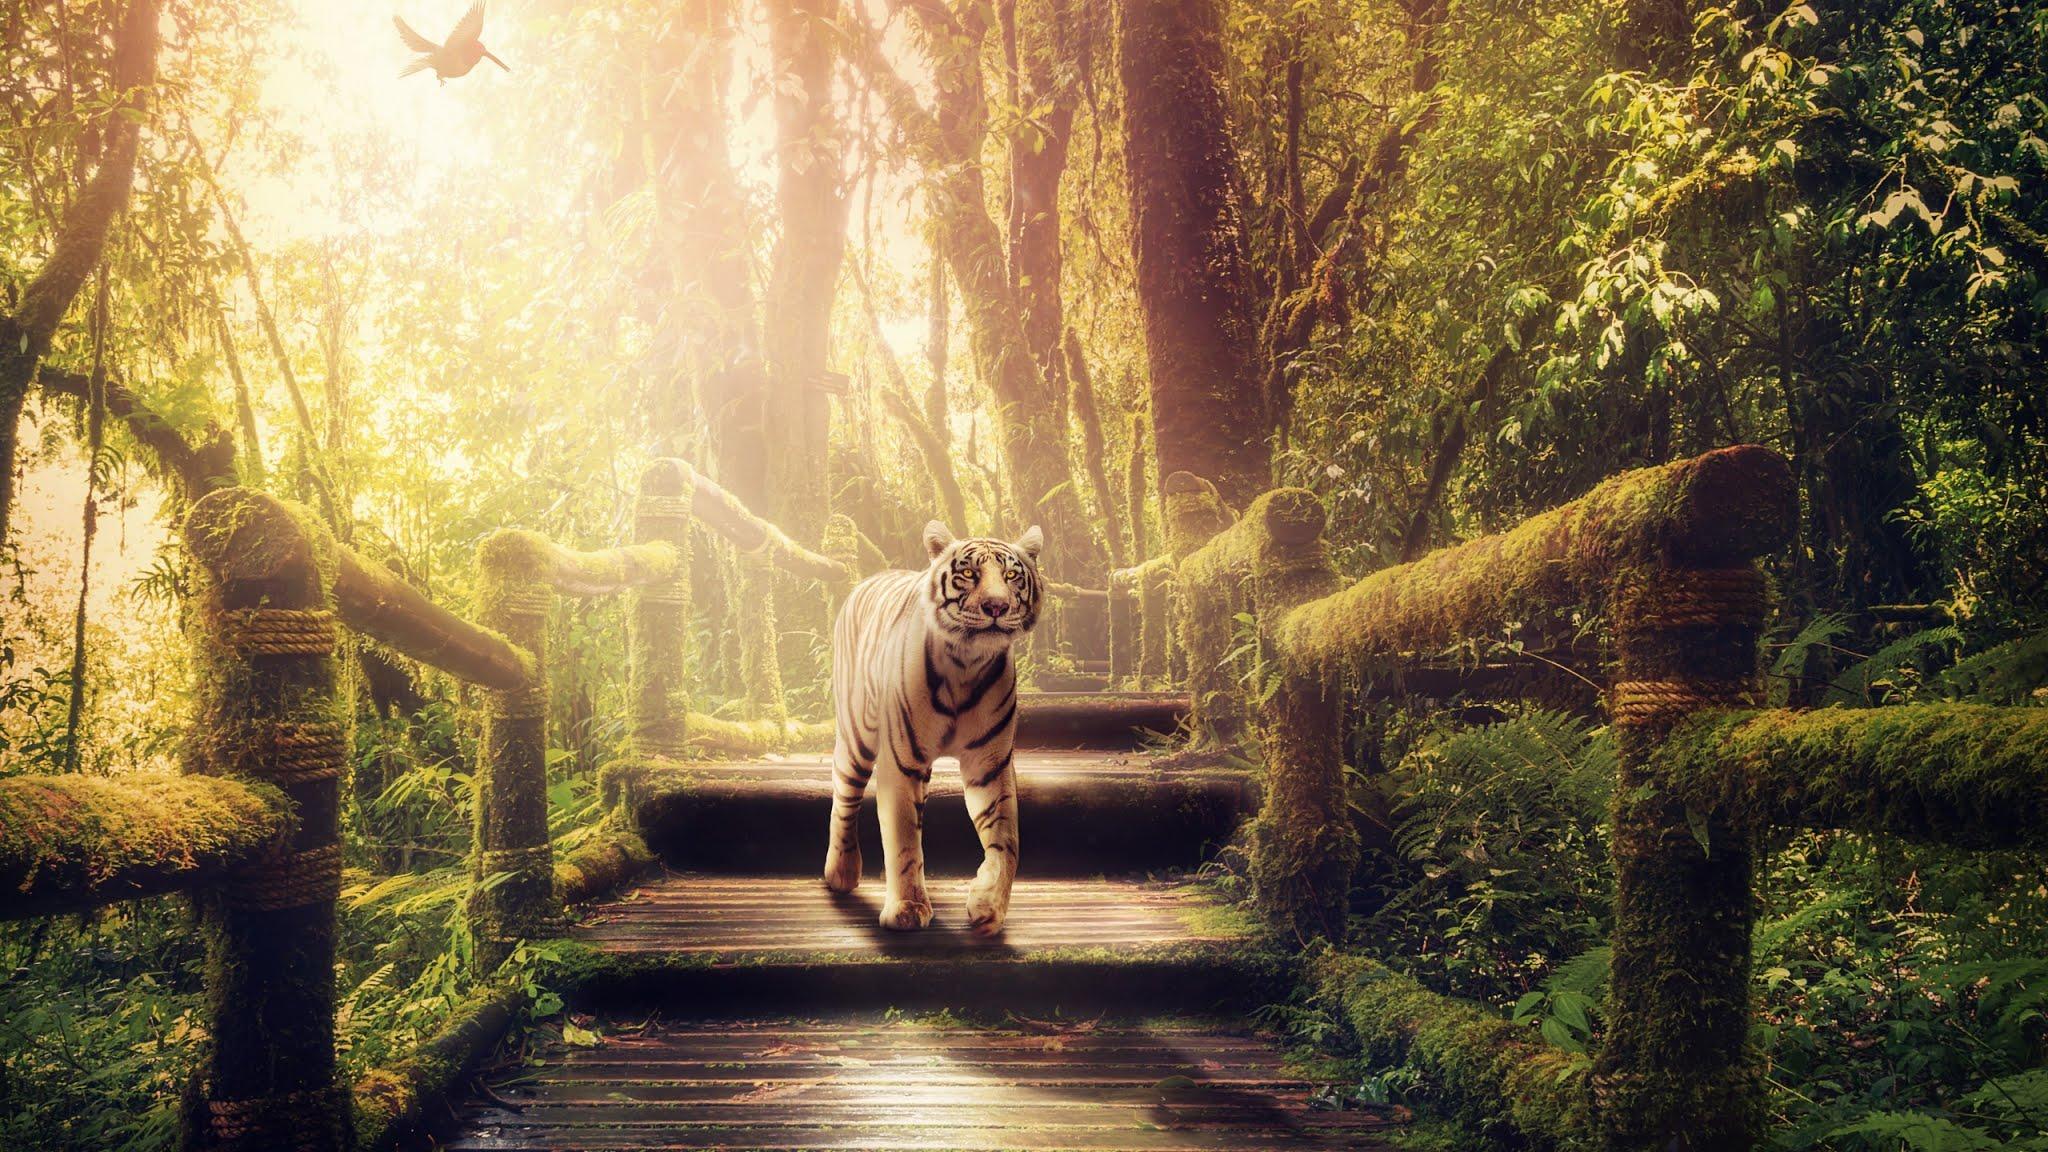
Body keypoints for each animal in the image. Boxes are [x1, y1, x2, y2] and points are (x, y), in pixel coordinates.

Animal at [822, 520, 1043, 935]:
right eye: (969, 573)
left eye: (1011, 576)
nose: (997, 607)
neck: (967, 663)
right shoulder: (902, 762)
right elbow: (904, 837)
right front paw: (908, 909)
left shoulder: (991, 766)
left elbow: (1007, 839)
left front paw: (988, 906)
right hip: (857, 738)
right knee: (844, 798)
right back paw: (841, 872)